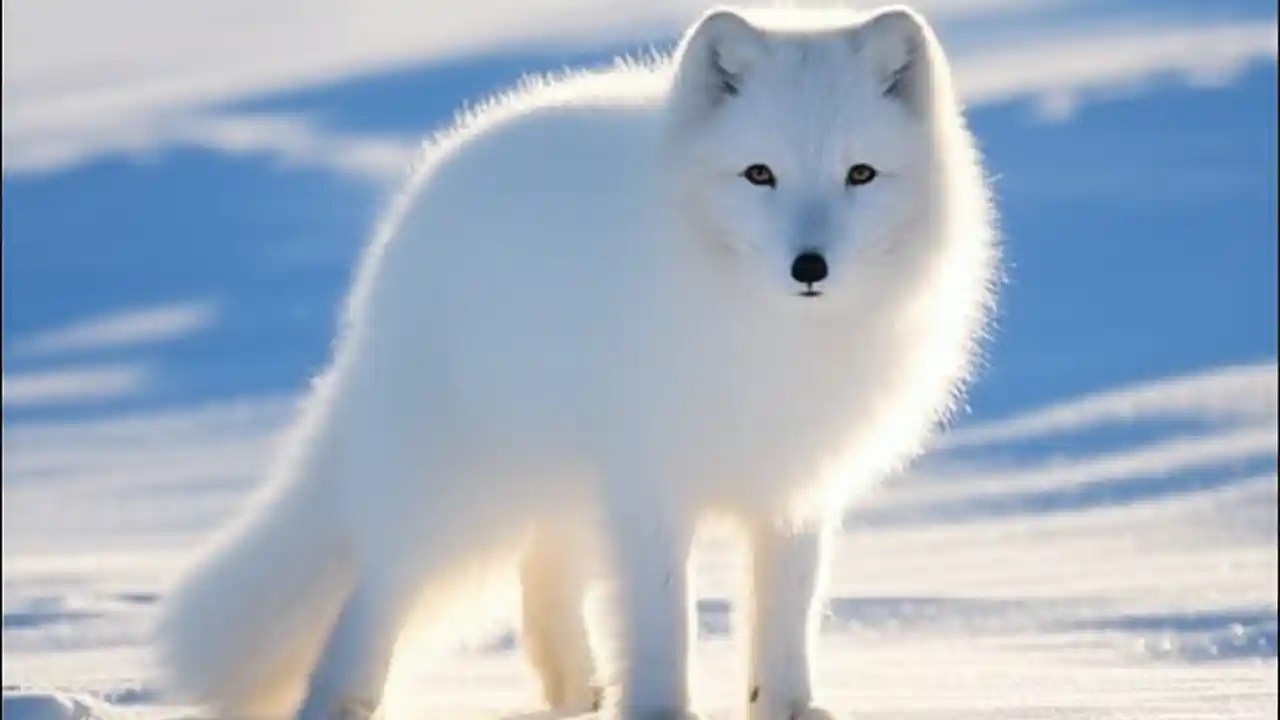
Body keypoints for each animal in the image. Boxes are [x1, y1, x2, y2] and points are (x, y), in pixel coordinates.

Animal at [157, 5, 998, 720]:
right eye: (759, 173)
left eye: (861, 174)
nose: (810, 266)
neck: (767, 335)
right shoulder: (651, 483)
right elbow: (665, 619)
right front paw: (662, 711)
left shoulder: (793, 486)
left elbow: (783, 618)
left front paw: (788, 709)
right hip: (459, 484)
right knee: (381, 584)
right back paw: (340, 701)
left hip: (567, 486)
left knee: (542, 571)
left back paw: (576, 691)